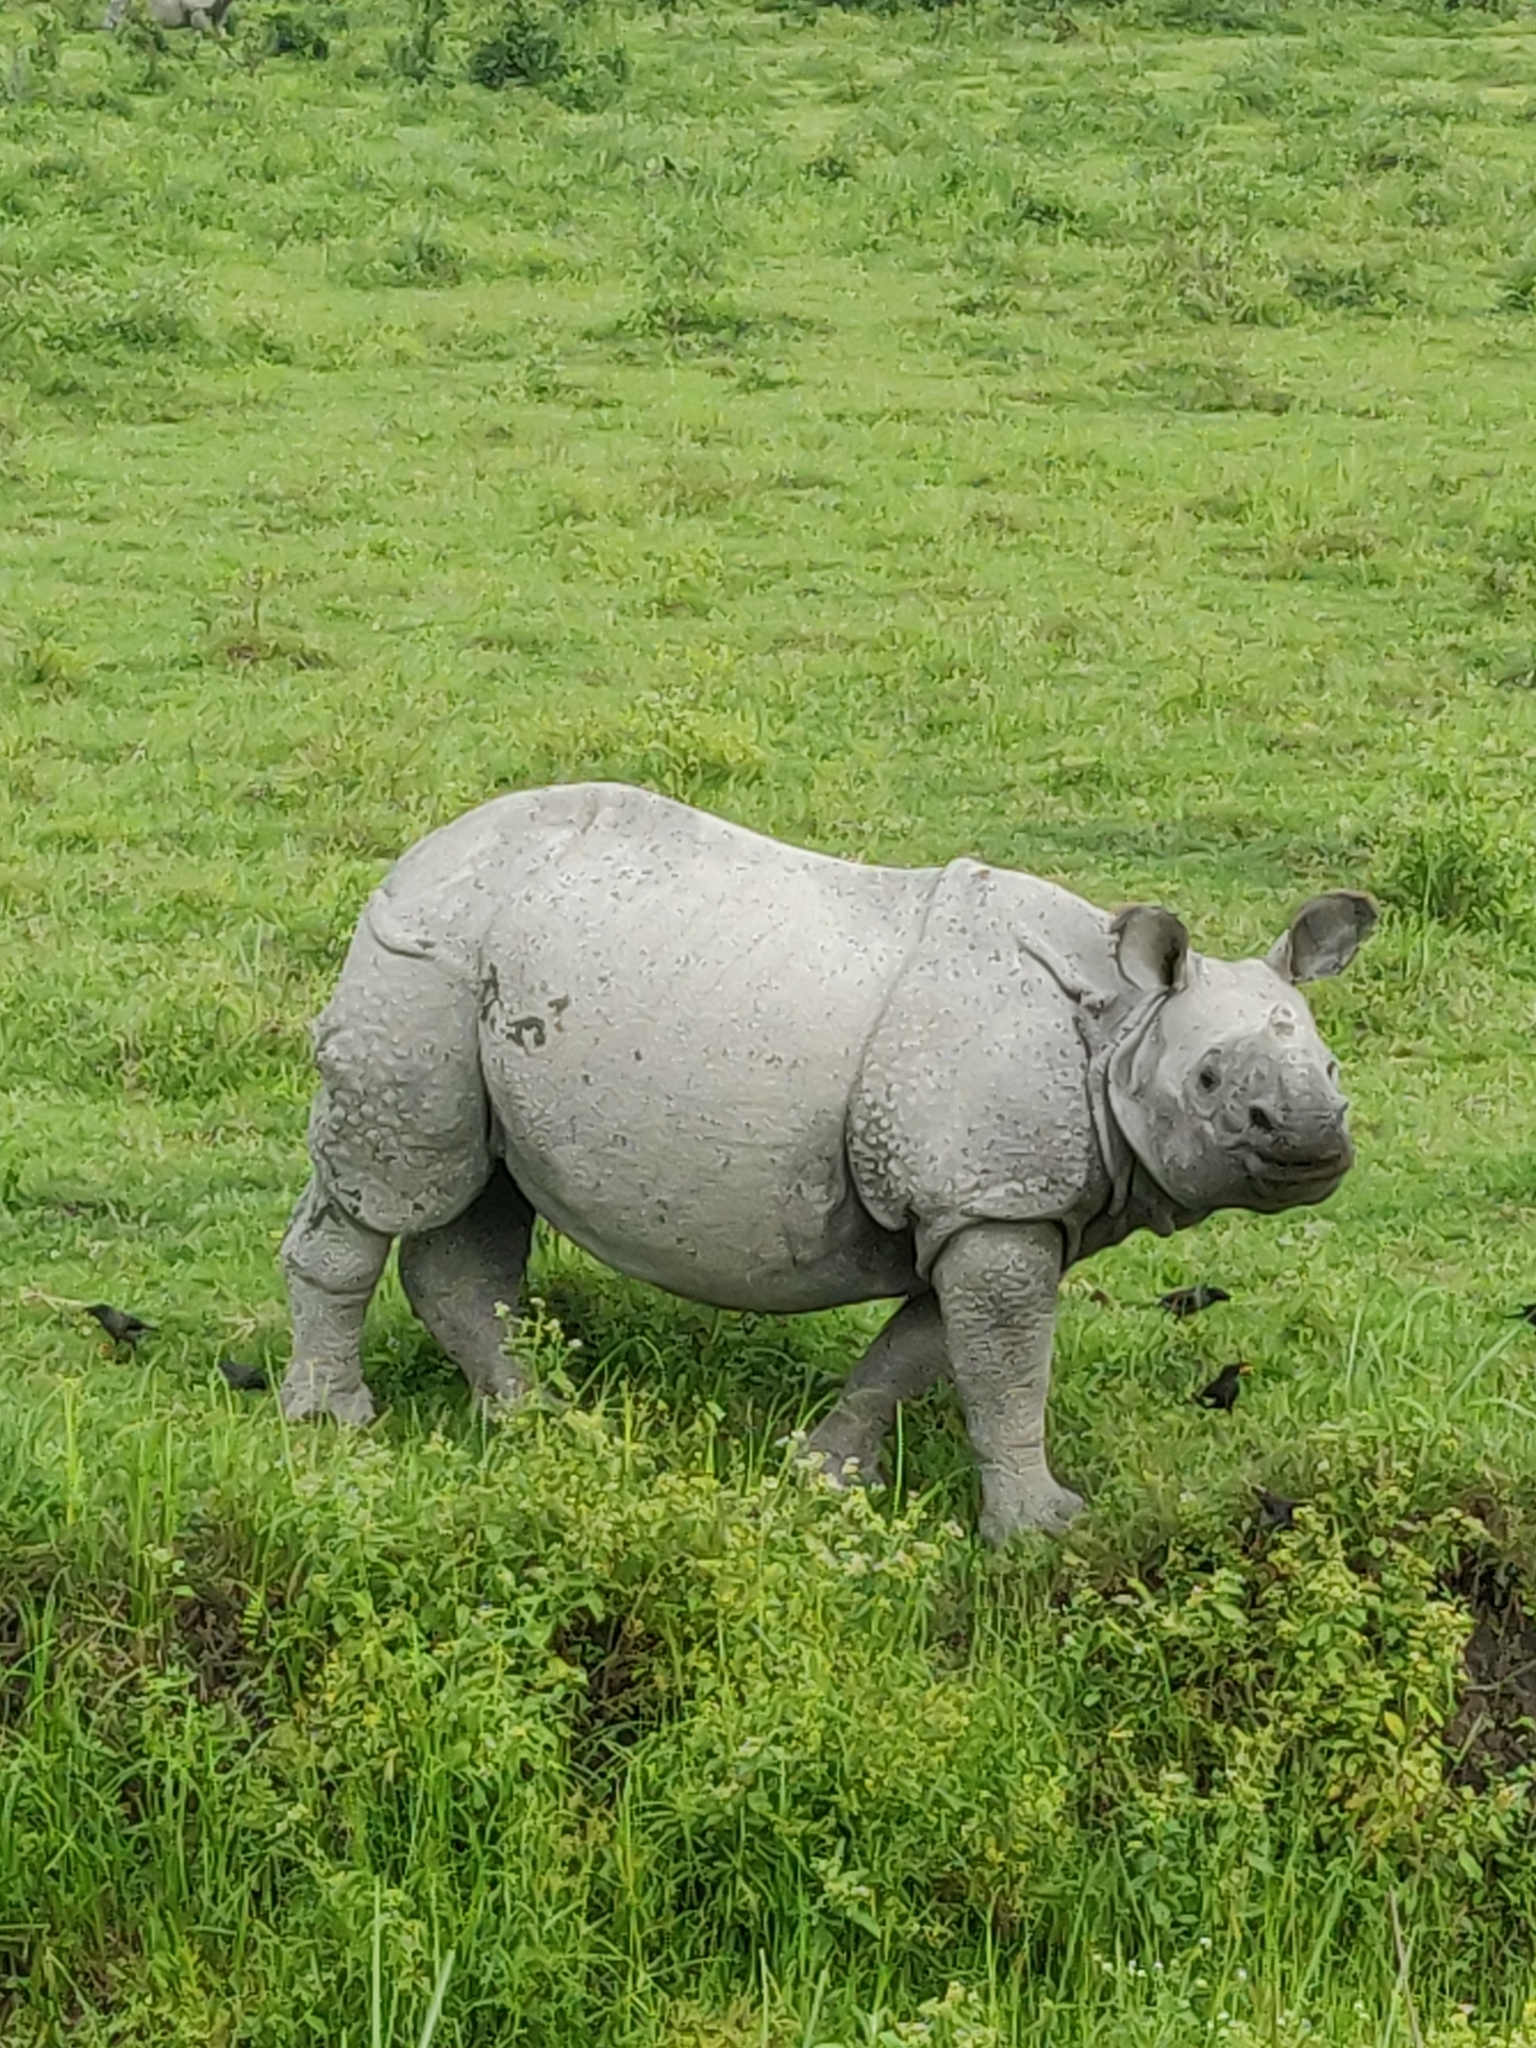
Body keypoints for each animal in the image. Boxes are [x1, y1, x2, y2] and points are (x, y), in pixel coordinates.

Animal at [279, 782, 1375, 1542]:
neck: (1122, 1026)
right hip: (419, 959)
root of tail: (422, 850)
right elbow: (1008, 1370)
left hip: (485, 969)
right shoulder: (997, 1201)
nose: (1314, 1135)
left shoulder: (991, 1207)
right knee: (390, 1188)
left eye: (1332, 1067)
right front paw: (1043, 1530)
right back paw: (337, 1426)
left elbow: (922, 1352)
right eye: (1211, 1080)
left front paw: (823, 1473)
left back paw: (535, 1420)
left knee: (478, 1198)